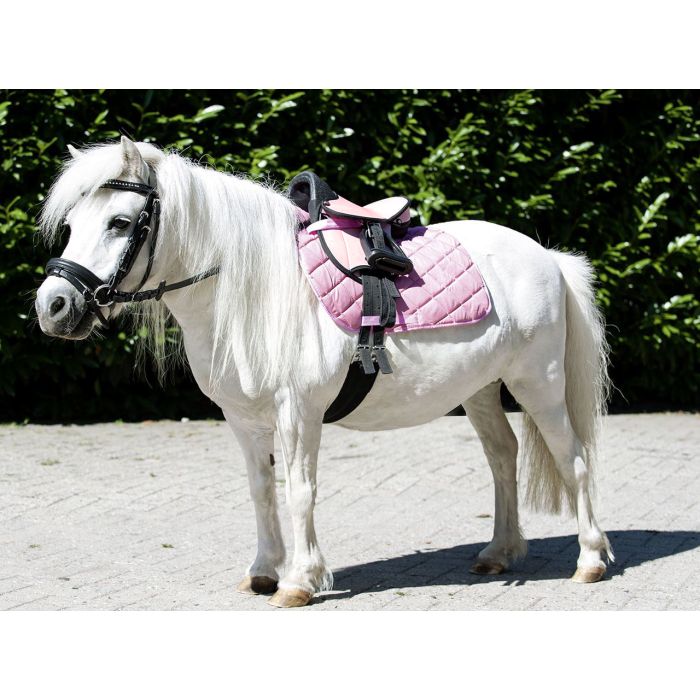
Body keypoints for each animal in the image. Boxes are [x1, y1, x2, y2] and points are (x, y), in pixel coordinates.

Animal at [34, 136, 613, 608]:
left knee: (574, 459)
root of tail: (548, 257)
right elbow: (261, 490)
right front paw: (263, 572)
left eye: (120, 223)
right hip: (481, 390)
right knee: (502, 457)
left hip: (539, 384)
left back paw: (589, 558)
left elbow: (299, 491)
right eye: (72, 225)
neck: (256, 289)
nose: (54, 306)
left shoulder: (299, 414)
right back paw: (499, 551)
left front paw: (299, 581)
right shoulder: (243, 419)